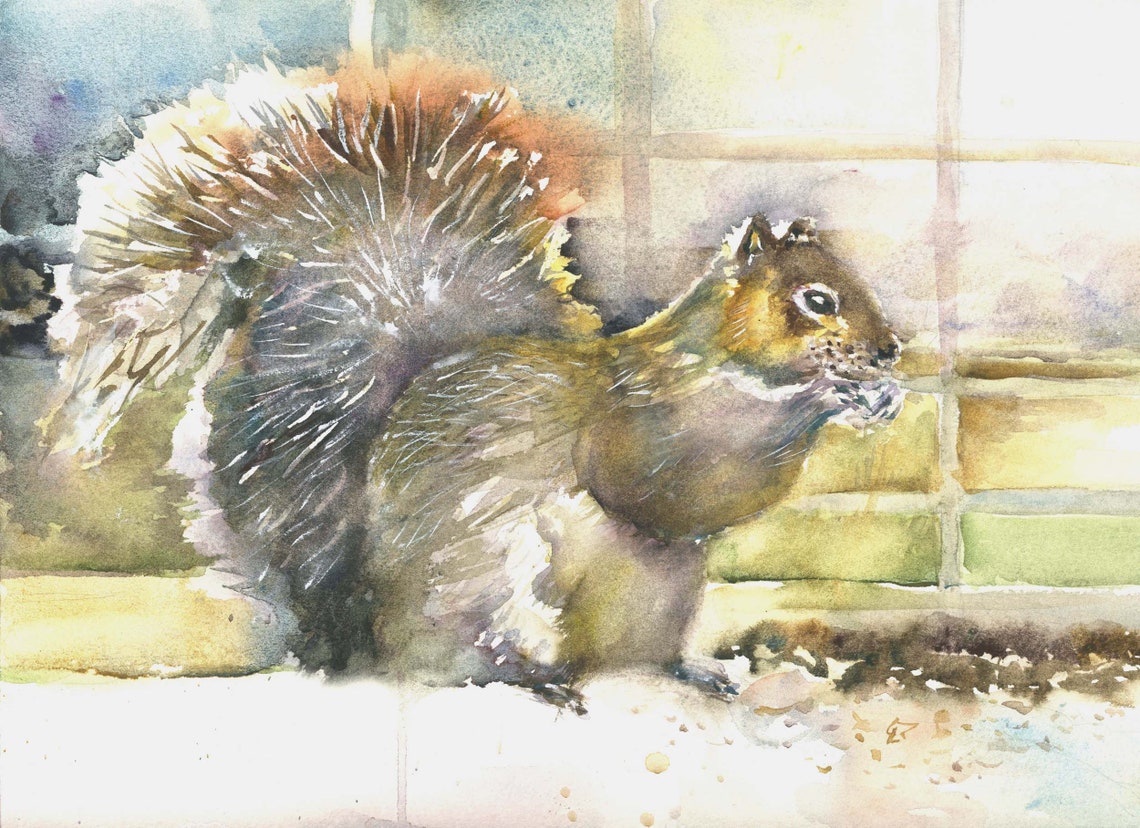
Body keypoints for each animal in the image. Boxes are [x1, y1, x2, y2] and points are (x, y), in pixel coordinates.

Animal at [47, 55, 903, 705]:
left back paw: (691, 670)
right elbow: (677, 482)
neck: (718, 365)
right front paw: (834, 394)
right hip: (504, 581)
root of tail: (367, 632)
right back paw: (530, 676)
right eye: (817, 300)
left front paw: (871, 397)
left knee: (636, 654)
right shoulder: (647, 424)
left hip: (667, 593)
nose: (893, 349)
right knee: (464, 658)